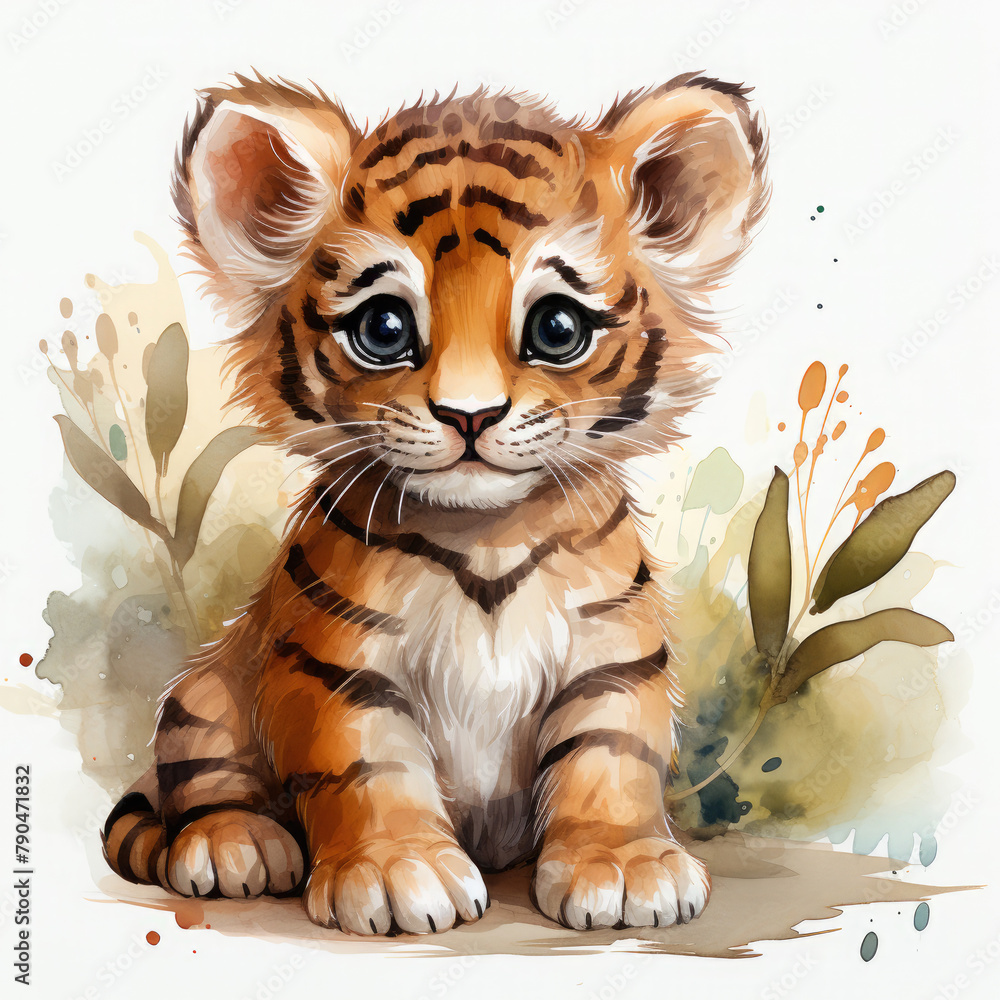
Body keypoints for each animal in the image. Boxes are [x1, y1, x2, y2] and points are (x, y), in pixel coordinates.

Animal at [101, 71, 768, 935]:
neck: (486, 528)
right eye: (384, 328)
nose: (469, 415)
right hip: (206, 691)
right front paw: (395, 869)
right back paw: (234, 843)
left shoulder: (614, 658)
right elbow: (364, 765)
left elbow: (612, 758)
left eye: (557, 327)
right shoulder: (335, 665)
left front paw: (620, 866)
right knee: (202, 778)